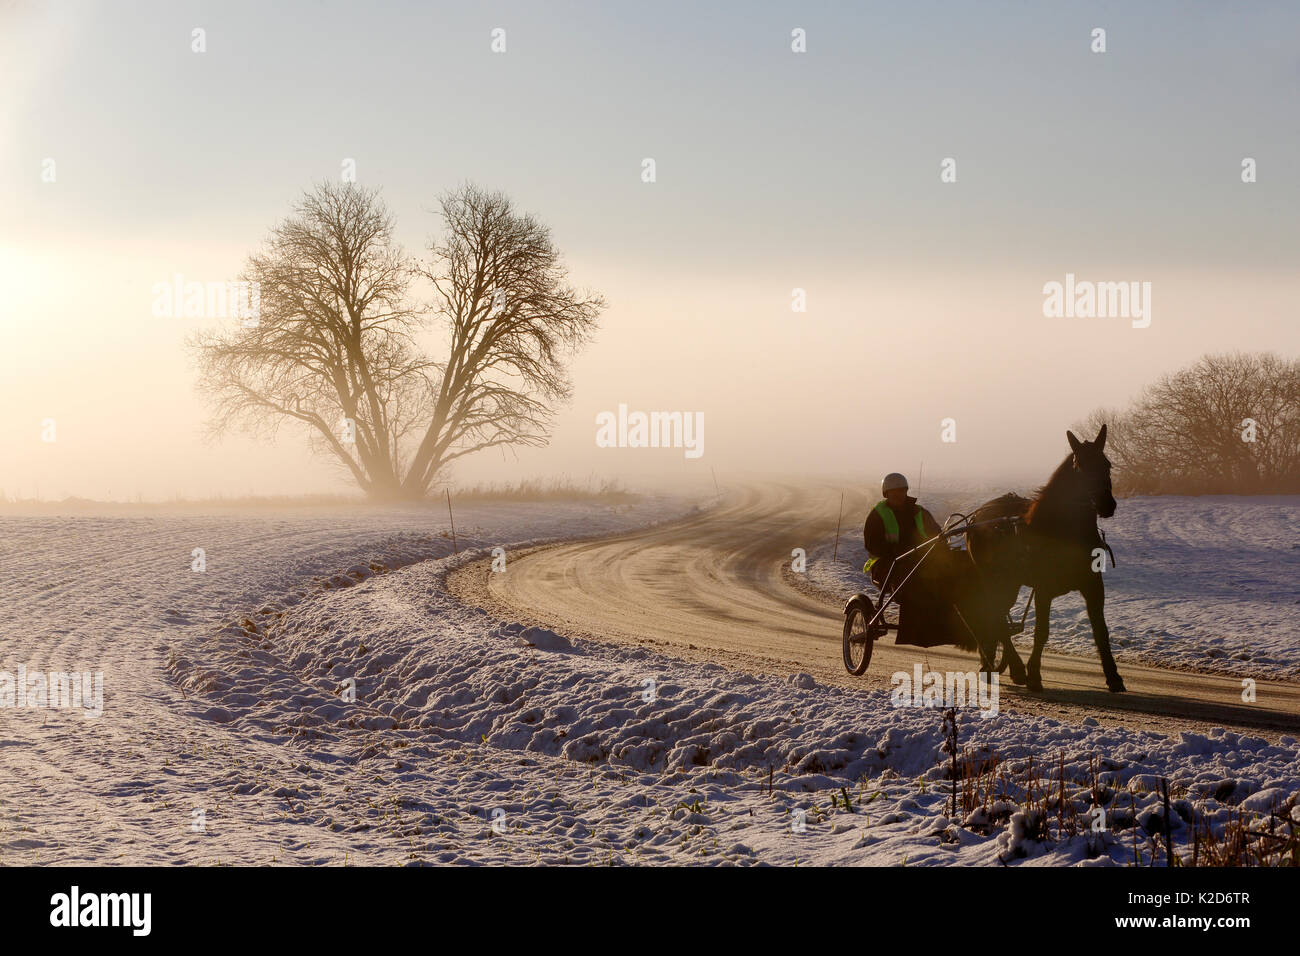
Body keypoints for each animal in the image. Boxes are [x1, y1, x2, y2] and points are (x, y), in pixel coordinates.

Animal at [965, 425, 1125, 693]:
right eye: (1080, 465)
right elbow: (1041, 632)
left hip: (1010, 583)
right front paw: (1034, 675)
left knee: (997, 615)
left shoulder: (1093, 586)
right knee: (996, 617)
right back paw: (1015, 668)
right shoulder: (1043, 589)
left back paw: (993, 663)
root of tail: (977, 516)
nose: (1107, 504)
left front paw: (1114, 676)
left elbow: (1101, 631)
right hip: (993, 578)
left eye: (1107, 464)